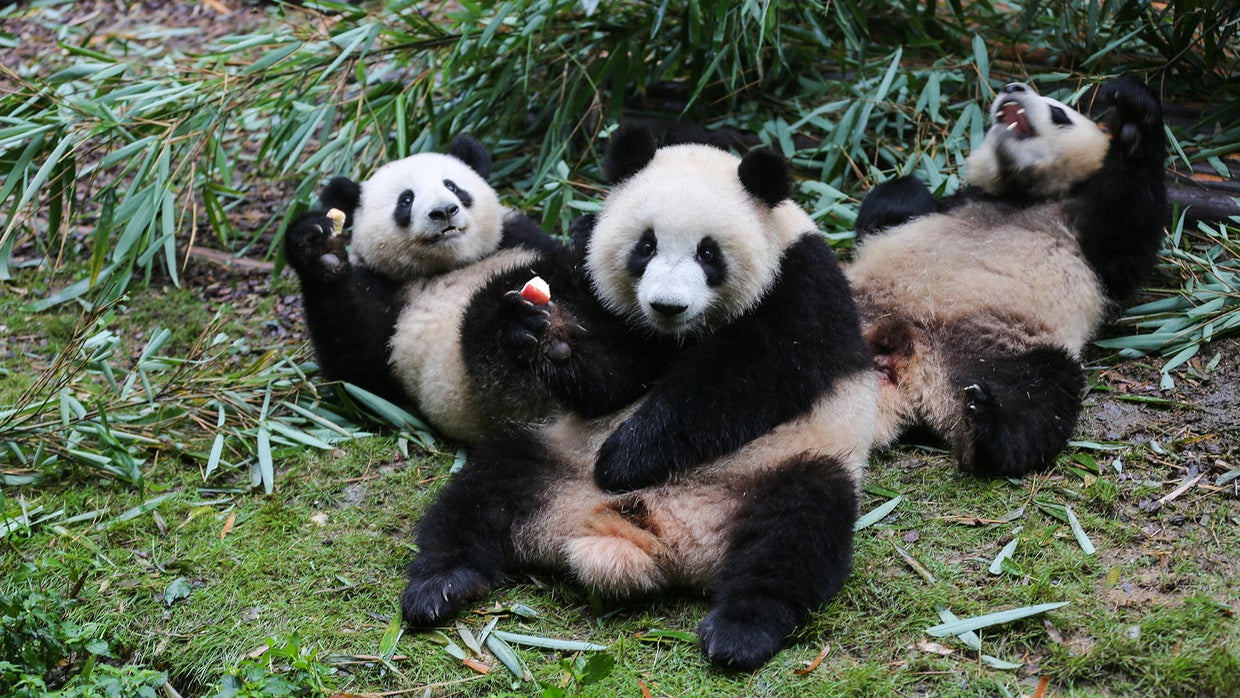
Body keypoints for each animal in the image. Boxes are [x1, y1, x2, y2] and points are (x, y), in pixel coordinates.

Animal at [283, 136, 562, 442]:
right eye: (406, 200)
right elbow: (358, 372)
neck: (449, 265)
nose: (444, 211)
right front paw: (317, 246)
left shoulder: (521, 239)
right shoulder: (384, 290)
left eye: (452, 186)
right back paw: (519, 328)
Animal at [399, 127, 879, 671]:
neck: (679, 336)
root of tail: (656, 540)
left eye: (708, 254)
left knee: (798, 533)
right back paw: (439, 584)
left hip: (788, 461)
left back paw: (740, 630)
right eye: (645, 246)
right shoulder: (611, 305)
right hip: (549, 455)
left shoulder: (802, 283)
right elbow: (614, 376)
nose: (667, 305)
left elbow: (747, 378)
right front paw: (540, 337)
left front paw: (625, 459)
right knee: (482, 494)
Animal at [847, 77, 1168, 477]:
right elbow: (890, 211)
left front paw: (1131, 111)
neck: (1022, 194)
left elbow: (1130, 221)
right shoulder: (963, 200)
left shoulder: (1090, 237)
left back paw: (987, 428)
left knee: (1039, 399)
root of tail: (902, 361)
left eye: (1059, 113)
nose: (1013, 86)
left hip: (998, 348)